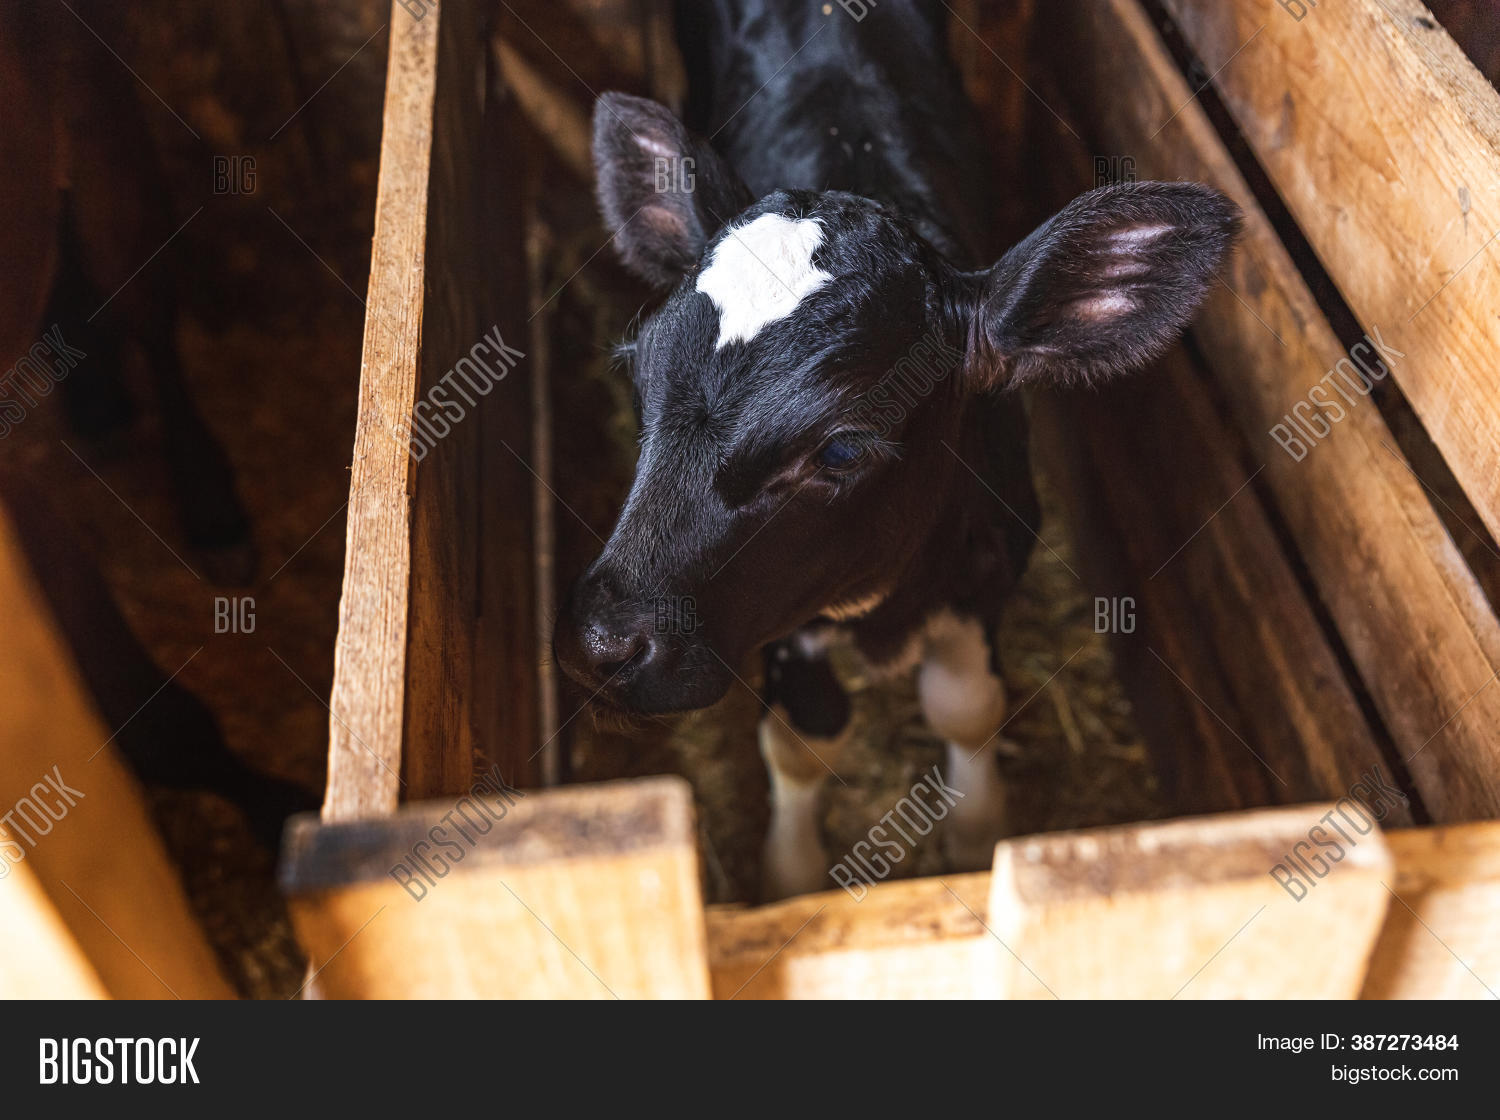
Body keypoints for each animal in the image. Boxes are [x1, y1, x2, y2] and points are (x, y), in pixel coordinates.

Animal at [553, 0, 1240, 898]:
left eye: (843, 451)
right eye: (637, 376)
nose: (604, 644)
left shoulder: (992, 558)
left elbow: (966, 705)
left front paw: (978, 832)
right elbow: (807, 737)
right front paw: (791, 870)